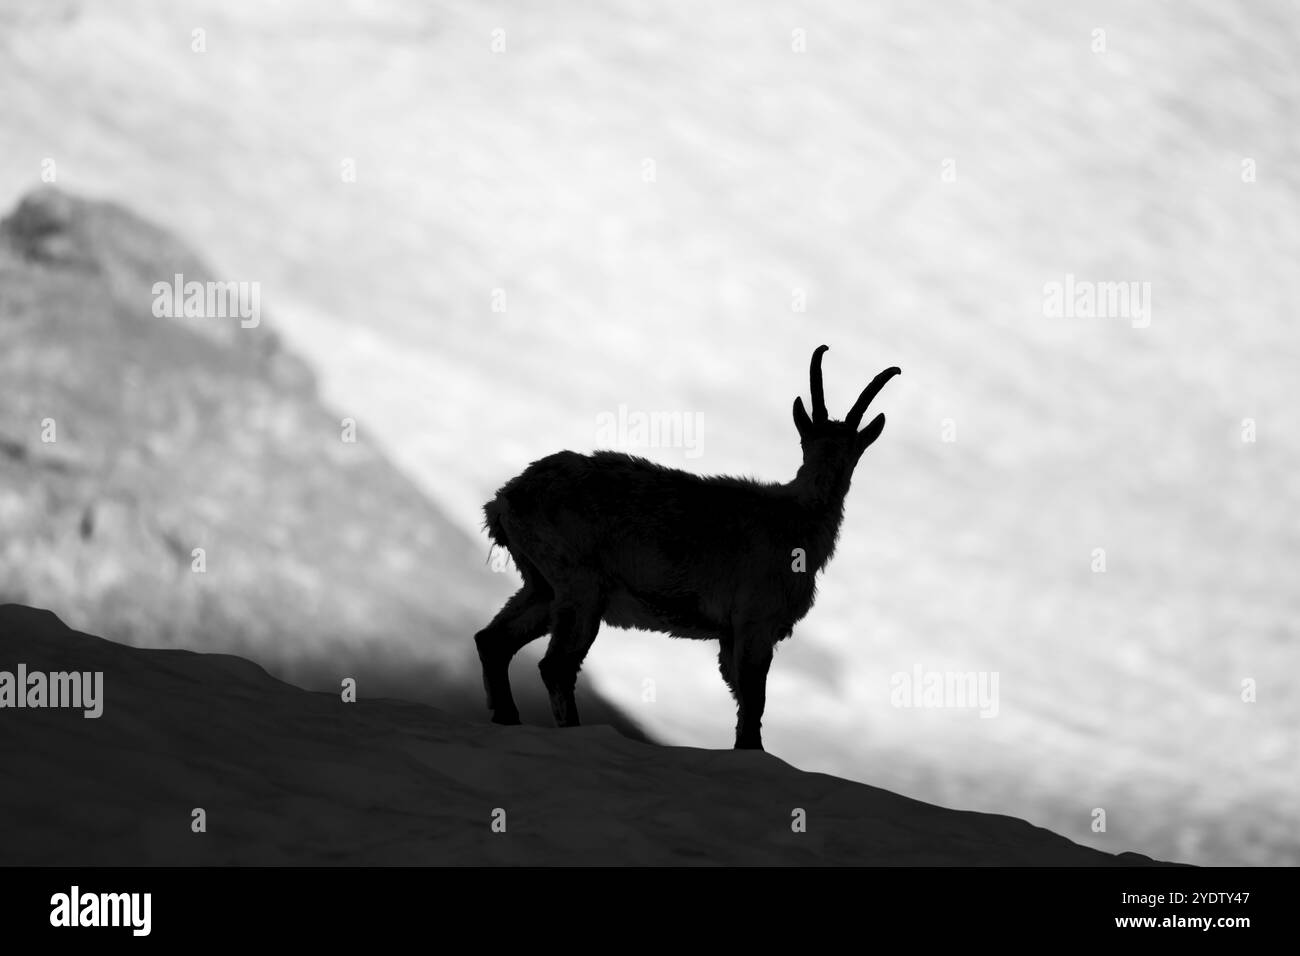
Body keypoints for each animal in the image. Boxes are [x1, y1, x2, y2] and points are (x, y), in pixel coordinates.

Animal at [474, 345, 900, 750]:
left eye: (848, 450)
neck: (800, 516)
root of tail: (506, 500)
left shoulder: (728, 635)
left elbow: (741, 698)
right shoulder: (755, 622)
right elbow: (754, 700)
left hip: (542, 586)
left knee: (493, 640)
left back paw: (507, 718)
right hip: (581, 586)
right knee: (556, 666)